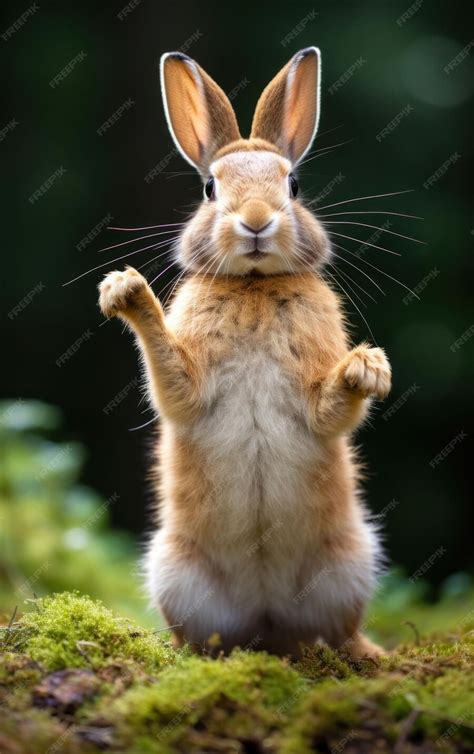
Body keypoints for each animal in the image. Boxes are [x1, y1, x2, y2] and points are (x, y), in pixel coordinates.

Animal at [98, 47, 391, 660]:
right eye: (211, 188)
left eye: (294, 184)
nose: (256, 221)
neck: (253, 286)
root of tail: (268, 620)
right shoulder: (185, 385)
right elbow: (169, 377)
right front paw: (125, 291)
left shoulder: (315, 388)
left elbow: (333, 409)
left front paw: (367, 368)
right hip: (175, 574)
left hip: (351, 564)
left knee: (336, 633)